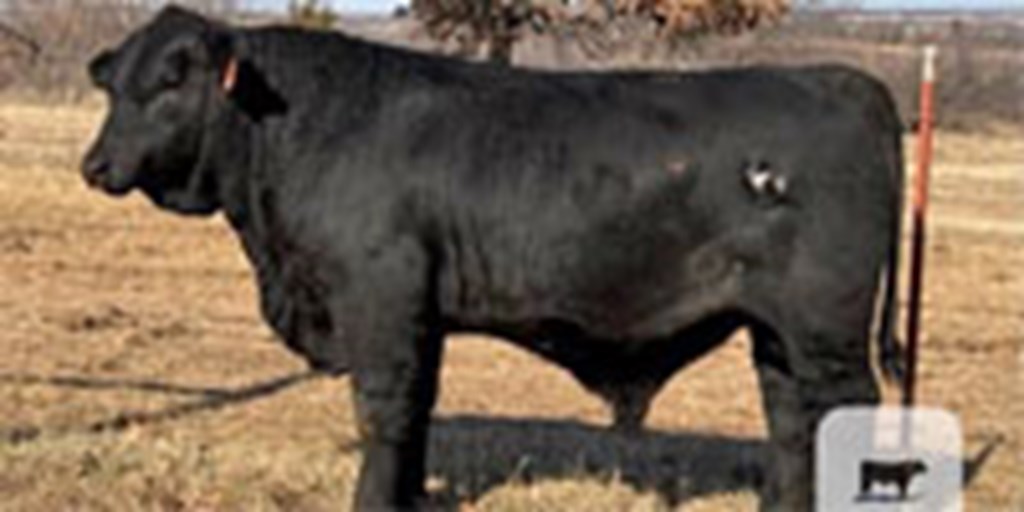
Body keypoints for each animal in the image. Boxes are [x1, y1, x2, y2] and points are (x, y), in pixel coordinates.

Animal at [81, 7, 904, 511]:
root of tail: (841, 78)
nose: (95, 164)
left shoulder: (379, 301)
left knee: (843, 411)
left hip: (827, 332)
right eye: (115, 84)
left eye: (171, 80)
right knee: (792, 421)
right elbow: (417, 409)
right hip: (780, 334)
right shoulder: (418, 314)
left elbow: (385, 410)